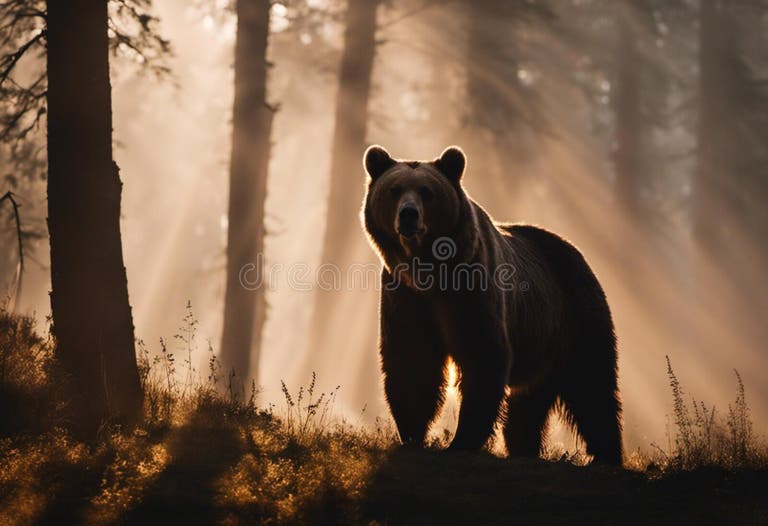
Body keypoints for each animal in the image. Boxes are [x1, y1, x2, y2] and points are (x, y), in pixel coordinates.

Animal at [362, 145, 623, 465]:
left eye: (426, 191)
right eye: (394, 189)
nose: (408, 214)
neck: (429, 272)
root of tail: (577, 251)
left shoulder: (469, 289)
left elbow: (482, 353)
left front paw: (461, 441)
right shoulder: (406, 296)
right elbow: (412, 358)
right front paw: (412, 434)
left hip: (576, 313)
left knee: (592, 383)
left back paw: (606, 455)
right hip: (541, 341)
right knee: (529, 405)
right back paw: (524, 449)